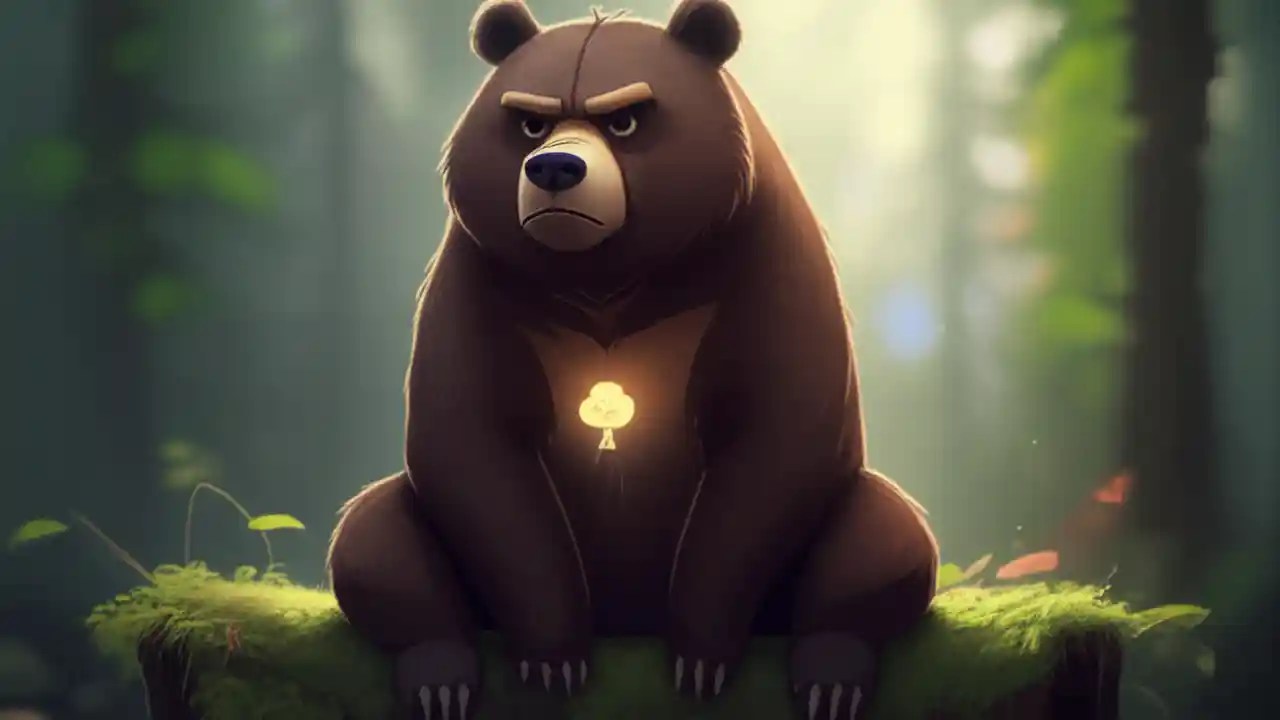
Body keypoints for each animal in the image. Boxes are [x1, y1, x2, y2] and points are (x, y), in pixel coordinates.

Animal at [326, 1, 939, 719]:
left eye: (623, 118)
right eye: (531, 120)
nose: (554, 168)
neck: (610, 282)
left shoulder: (765, 265)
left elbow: (774, 442)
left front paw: (701, 657)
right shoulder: (479, 280)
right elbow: (473, 448)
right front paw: (553, 659)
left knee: (884, 533)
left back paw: (831, 674)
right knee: (373, 536)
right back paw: (440, 677)